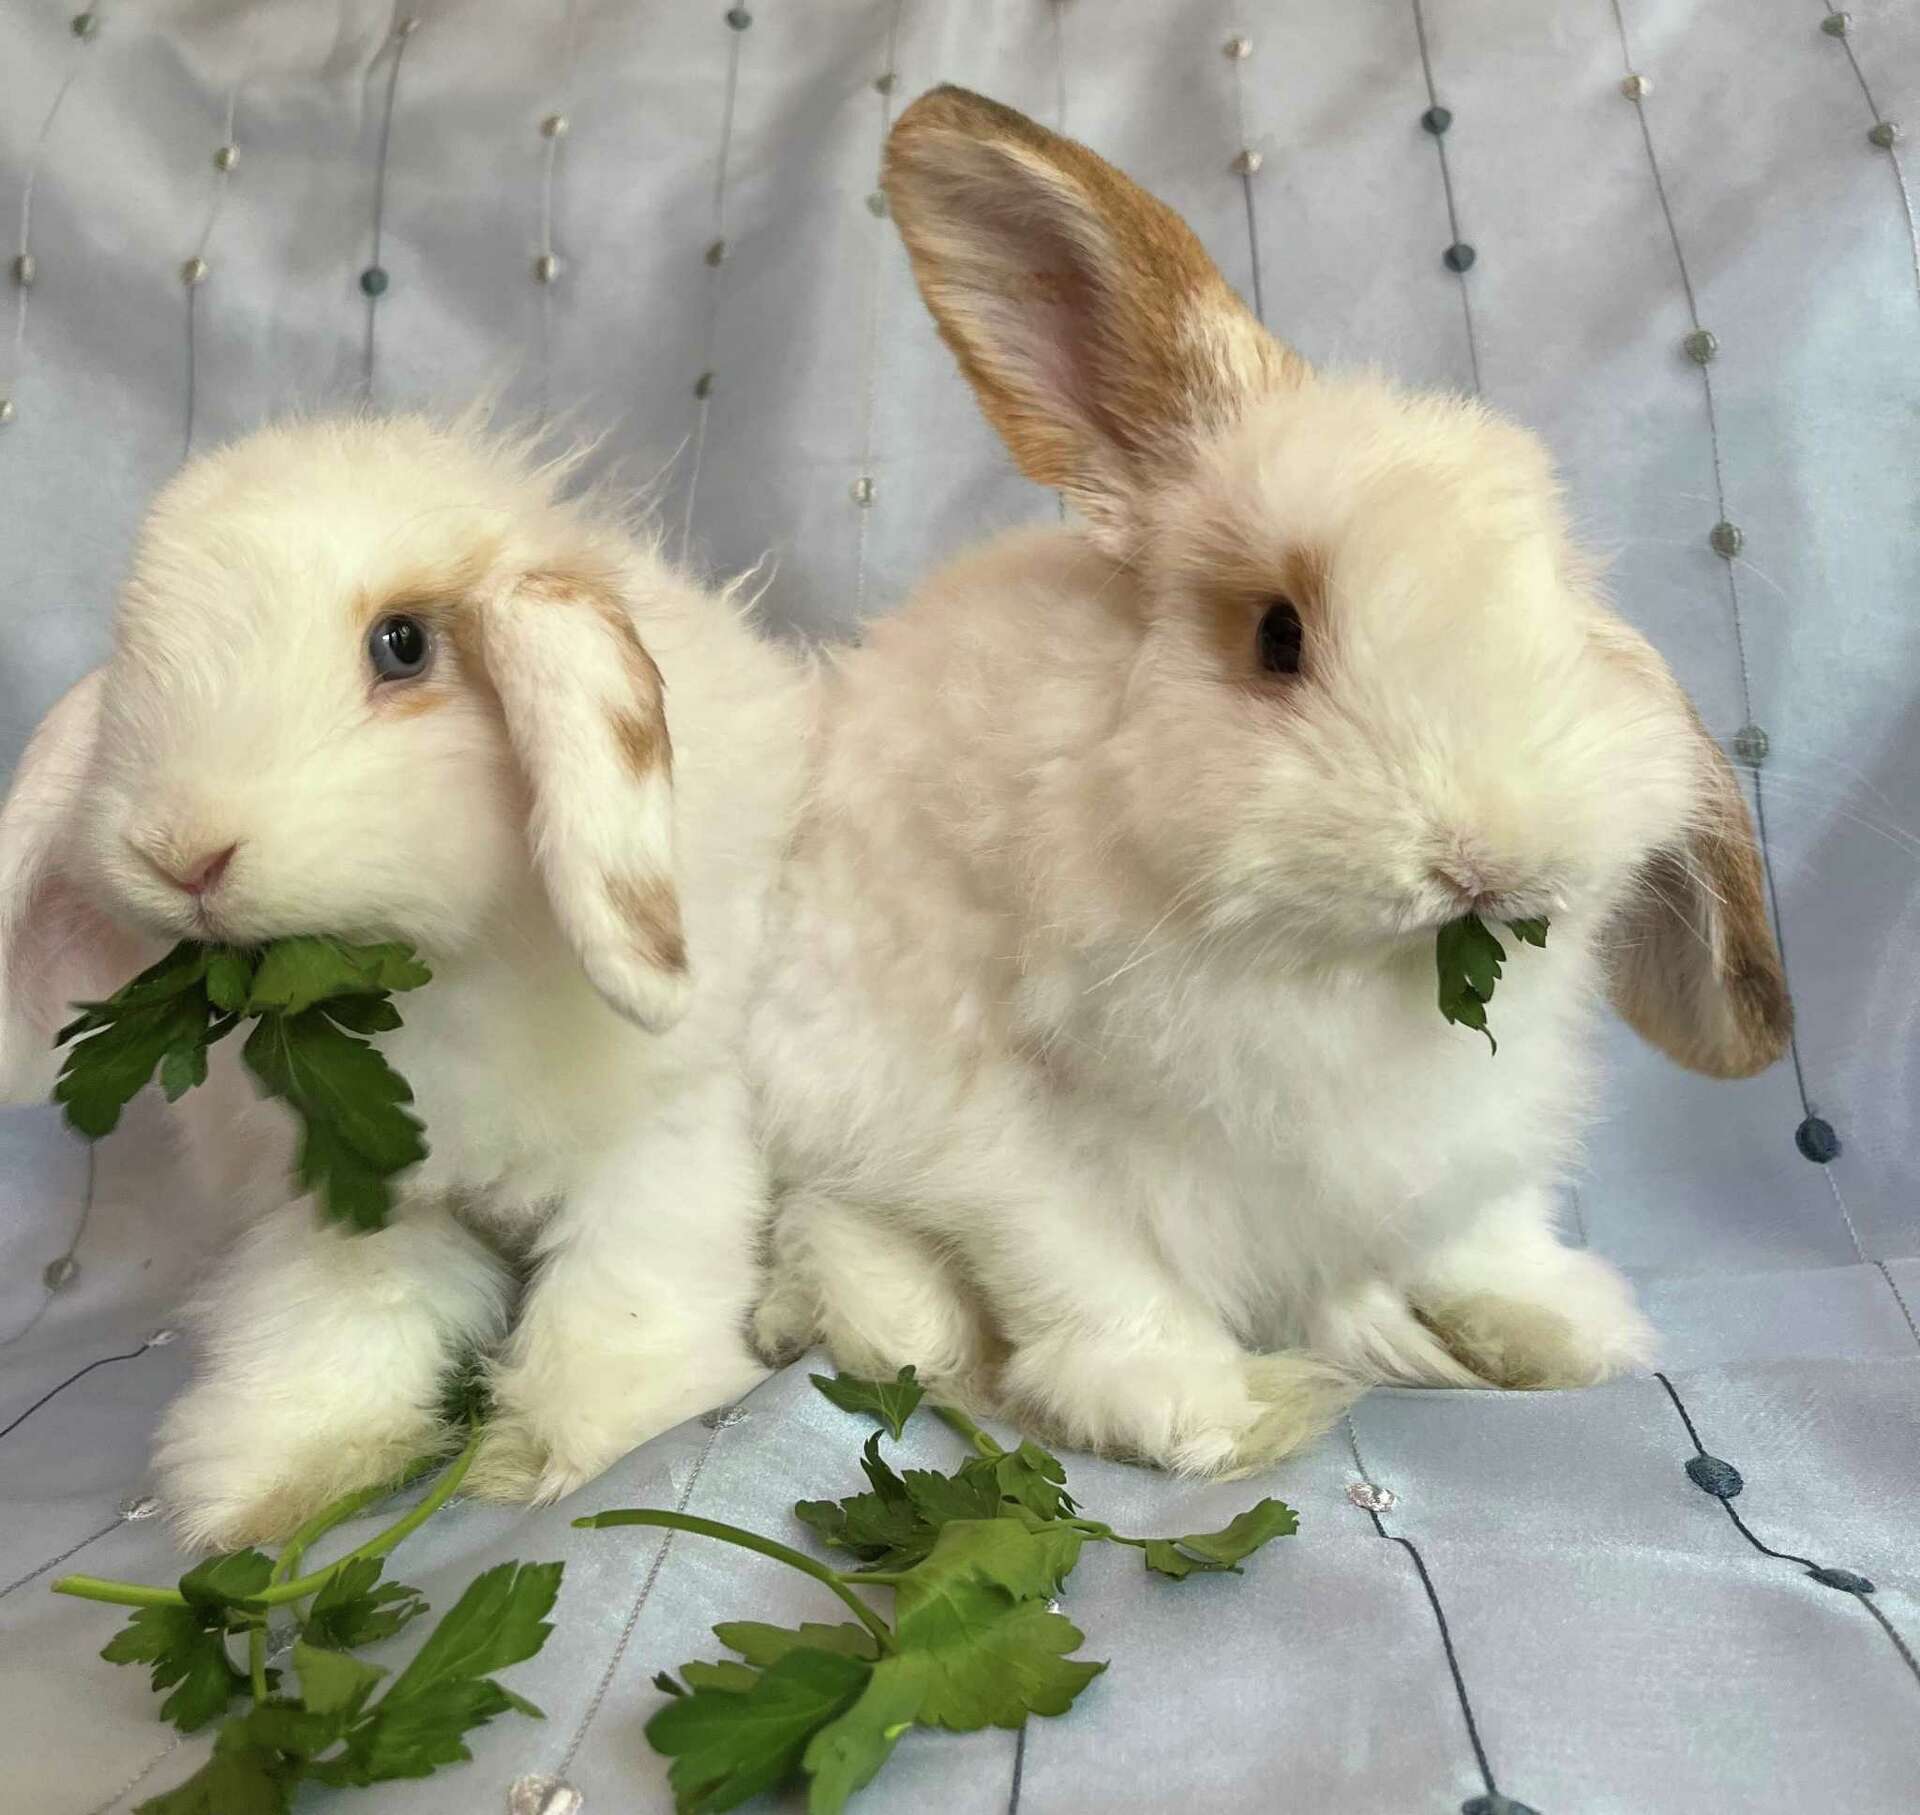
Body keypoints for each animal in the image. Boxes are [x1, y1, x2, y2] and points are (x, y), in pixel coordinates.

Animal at [0, 411, 807, 1545]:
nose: (179, 853)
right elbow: (339, 1322)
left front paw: (577, 1449)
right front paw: (277, 1477)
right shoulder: (350, 1200)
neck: (433, 988)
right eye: (132, 667)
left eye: (404, 644)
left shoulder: (666, 1137)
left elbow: (624, 1285)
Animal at [747, 88, 1792, 1477]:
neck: (1337, 974)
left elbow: (1484, 1231)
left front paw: (1563, 1327)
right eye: (1279, 636)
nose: (1485, 859)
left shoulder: (1463, 1128)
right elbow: (1089, 1269)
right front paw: (1200, 1412)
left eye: (1563, 605)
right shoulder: (1011, 1130)